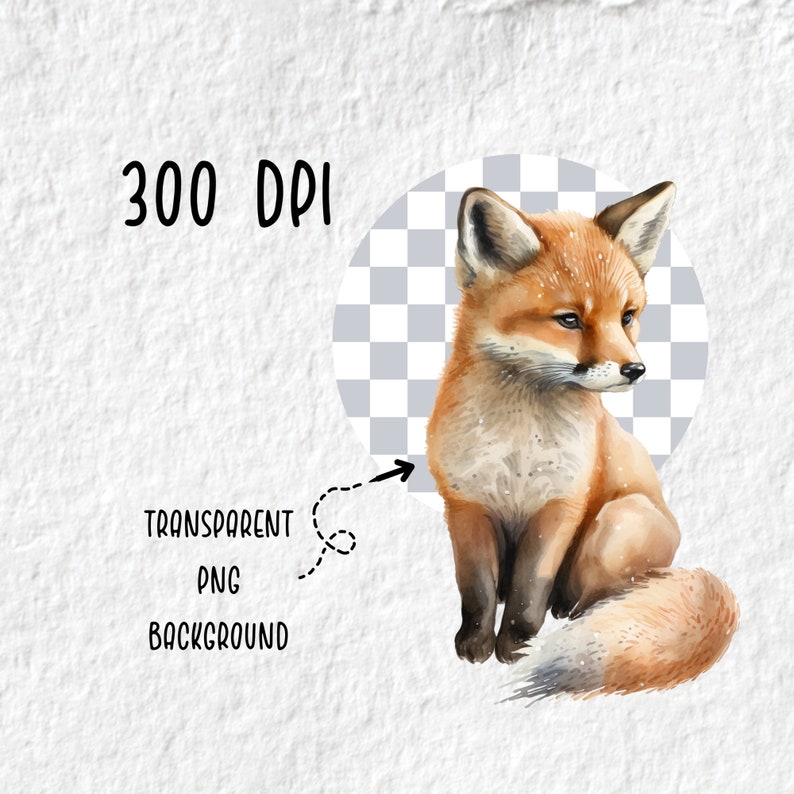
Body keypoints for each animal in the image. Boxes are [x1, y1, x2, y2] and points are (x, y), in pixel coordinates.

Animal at [426, 182, 738, 700]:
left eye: (627, 316)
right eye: (569, 320)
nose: (636, 369)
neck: (518, 443)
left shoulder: (560, 505)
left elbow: (529, 592)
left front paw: (516, 647)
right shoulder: (465, 505)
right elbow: (477, 590)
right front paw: (475, 643)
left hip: (616, 523)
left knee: (593, 602)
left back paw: (572, 618)